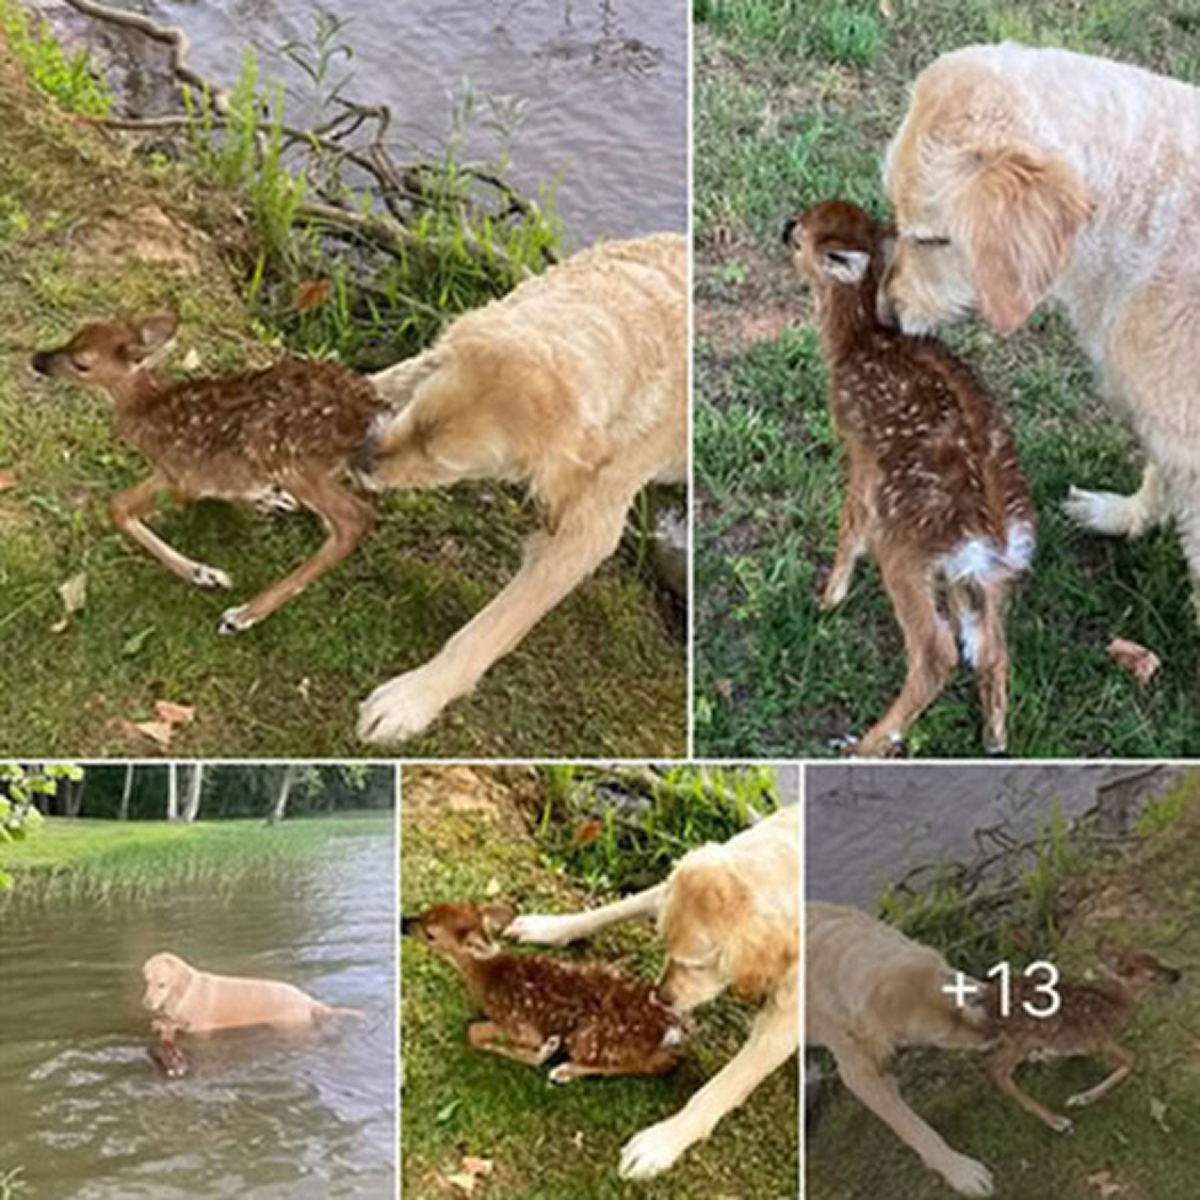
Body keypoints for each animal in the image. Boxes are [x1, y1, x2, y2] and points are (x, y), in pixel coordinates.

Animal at [31, 312, 382, 634]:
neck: (147, 413)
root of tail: (368, 407)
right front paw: (268, 500)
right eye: (76, 334)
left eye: (82, 363)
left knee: (354, 518)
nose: (38, 360)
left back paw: (242, 615)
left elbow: (116, 506)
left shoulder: (181, 475)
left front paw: (204, 575)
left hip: (285, 452)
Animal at [402, 901, 685, 1083]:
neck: (487, 976)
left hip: (587, 1038)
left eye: (430, 934)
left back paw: (564, 1071)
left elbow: (473, 1033)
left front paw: (545, 1051)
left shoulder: (518, 1023)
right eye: (430, 910)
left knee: (657, 1065)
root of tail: (668, 1028)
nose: (404, 923)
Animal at [784, 199, 1035, 756]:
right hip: (987, 572)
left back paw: (868, 742)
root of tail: (993, 533)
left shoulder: (861, 455)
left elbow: (849, 522)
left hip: (904, 545)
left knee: (937, 651)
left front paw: (828, 598)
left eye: (803, 237)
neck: (858, 341)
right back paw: (995, 735)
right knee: (992, 645)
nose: (785, 225)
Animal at [983, 950, 1182, 1133]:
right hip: (1024, 1038)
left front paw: (1044, 1057)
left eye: (1157, 960)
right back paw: (1059, 1122)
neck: (1116, 1004)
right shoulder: (1098, 1040)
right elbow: (1131, 1059)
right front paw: (1081, 1099)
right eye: (1152, 976)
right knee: (996, 1070)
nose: (1176, 974)